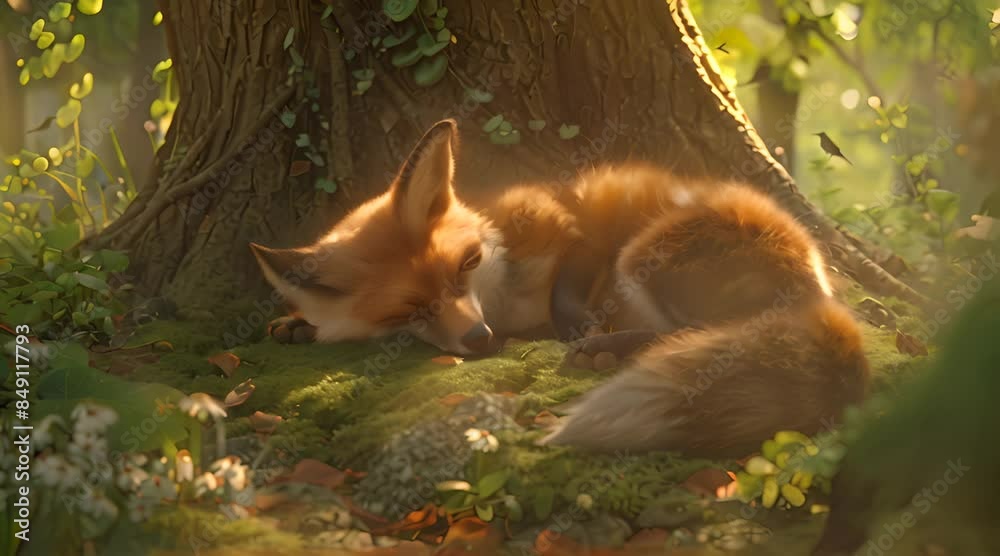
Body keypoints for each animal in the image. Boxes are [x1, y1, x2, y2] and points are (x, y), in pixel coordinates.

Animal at [250, 119, 870, 458]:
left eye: (466, 265)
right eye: (410, 314)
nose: (480, 341)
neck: (503, 294)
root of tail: (820, 284)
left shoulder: (570, 222)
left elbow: (570, 272)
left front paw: (575, 323)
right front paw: (296, 324)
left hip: (646, 250)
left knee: (704, 332)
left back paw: (606, 347)